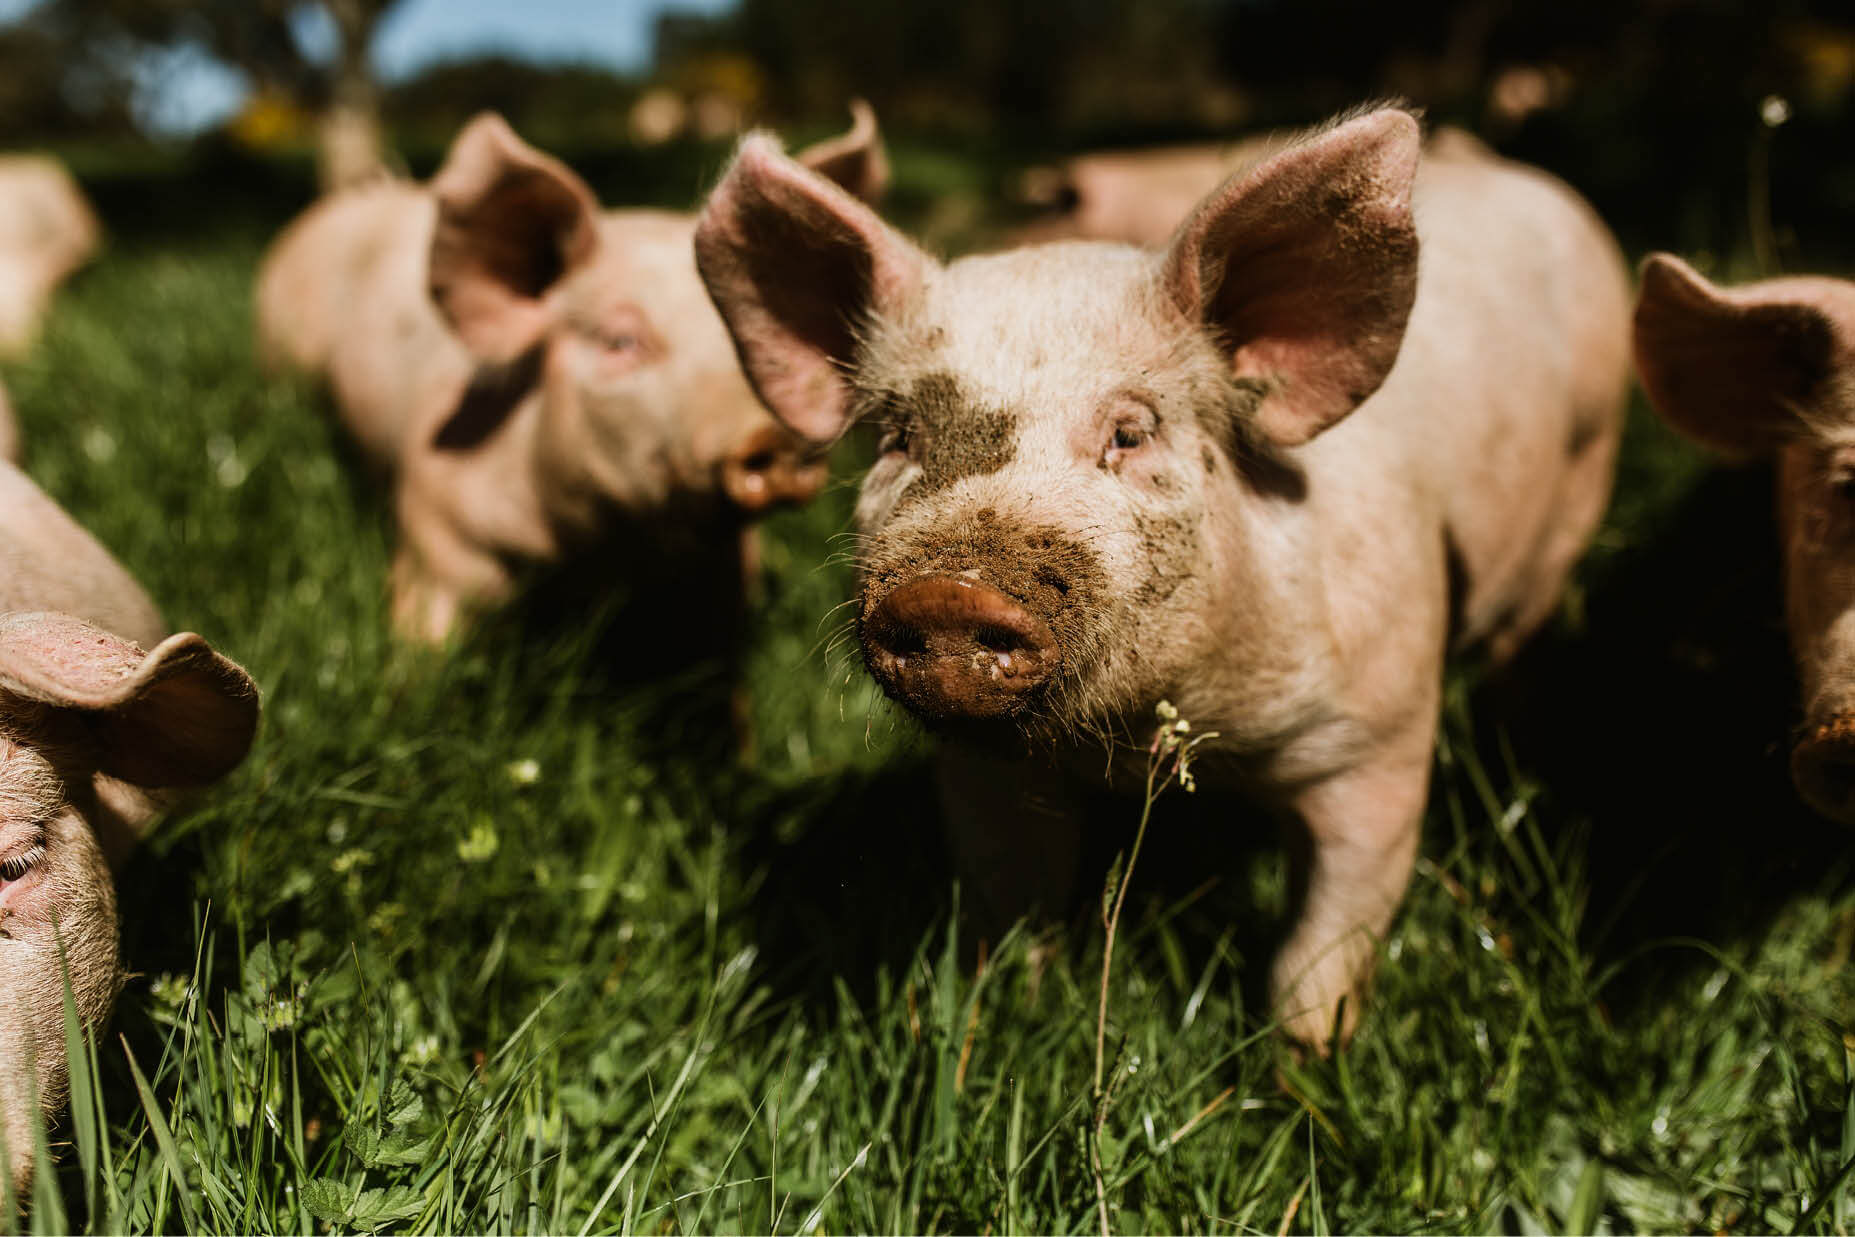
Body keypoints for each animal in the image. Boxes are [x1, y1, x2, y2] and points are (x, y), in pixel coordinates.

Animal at [695, 106, 1630, 1048]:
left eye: (1130, 432)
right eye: (898, 437)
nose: (949, 589)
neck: (1144, 739)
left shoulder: (1380, 735)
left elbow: (1322, 947)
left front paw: (1305, 1061)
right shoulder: (983, 768)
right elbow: (1010, 908)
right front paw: (997, 1021)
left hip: (1582, 477)